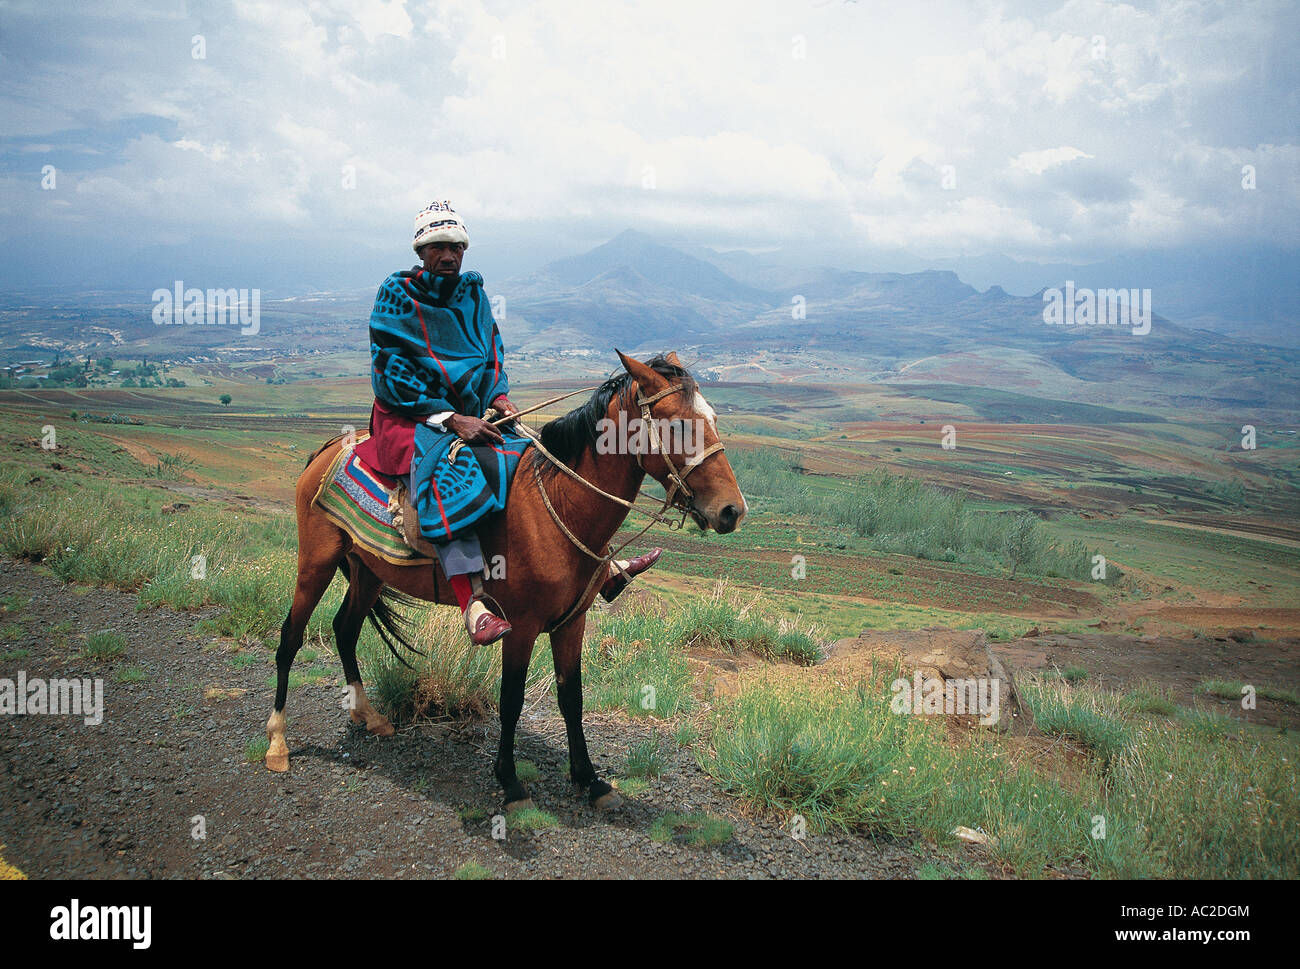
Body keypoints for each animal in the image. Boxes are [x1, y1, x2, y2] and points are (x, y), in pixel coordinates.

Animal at [265, 350, 747, 810]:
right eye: (678, 426)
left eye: (714, 418)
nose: (732, 511)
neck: (558, 506)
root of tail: (327, 450)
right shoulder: (522, 625)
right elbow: (511, 699)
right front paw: (511, 783)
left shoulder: (572, 623)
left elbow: (572, 698)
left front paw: (589, 780)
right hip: (316, 562)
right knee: (290, 638)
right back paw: (277, 743)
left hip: (368, 572)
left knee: (345, 630)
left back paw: (368, 715)